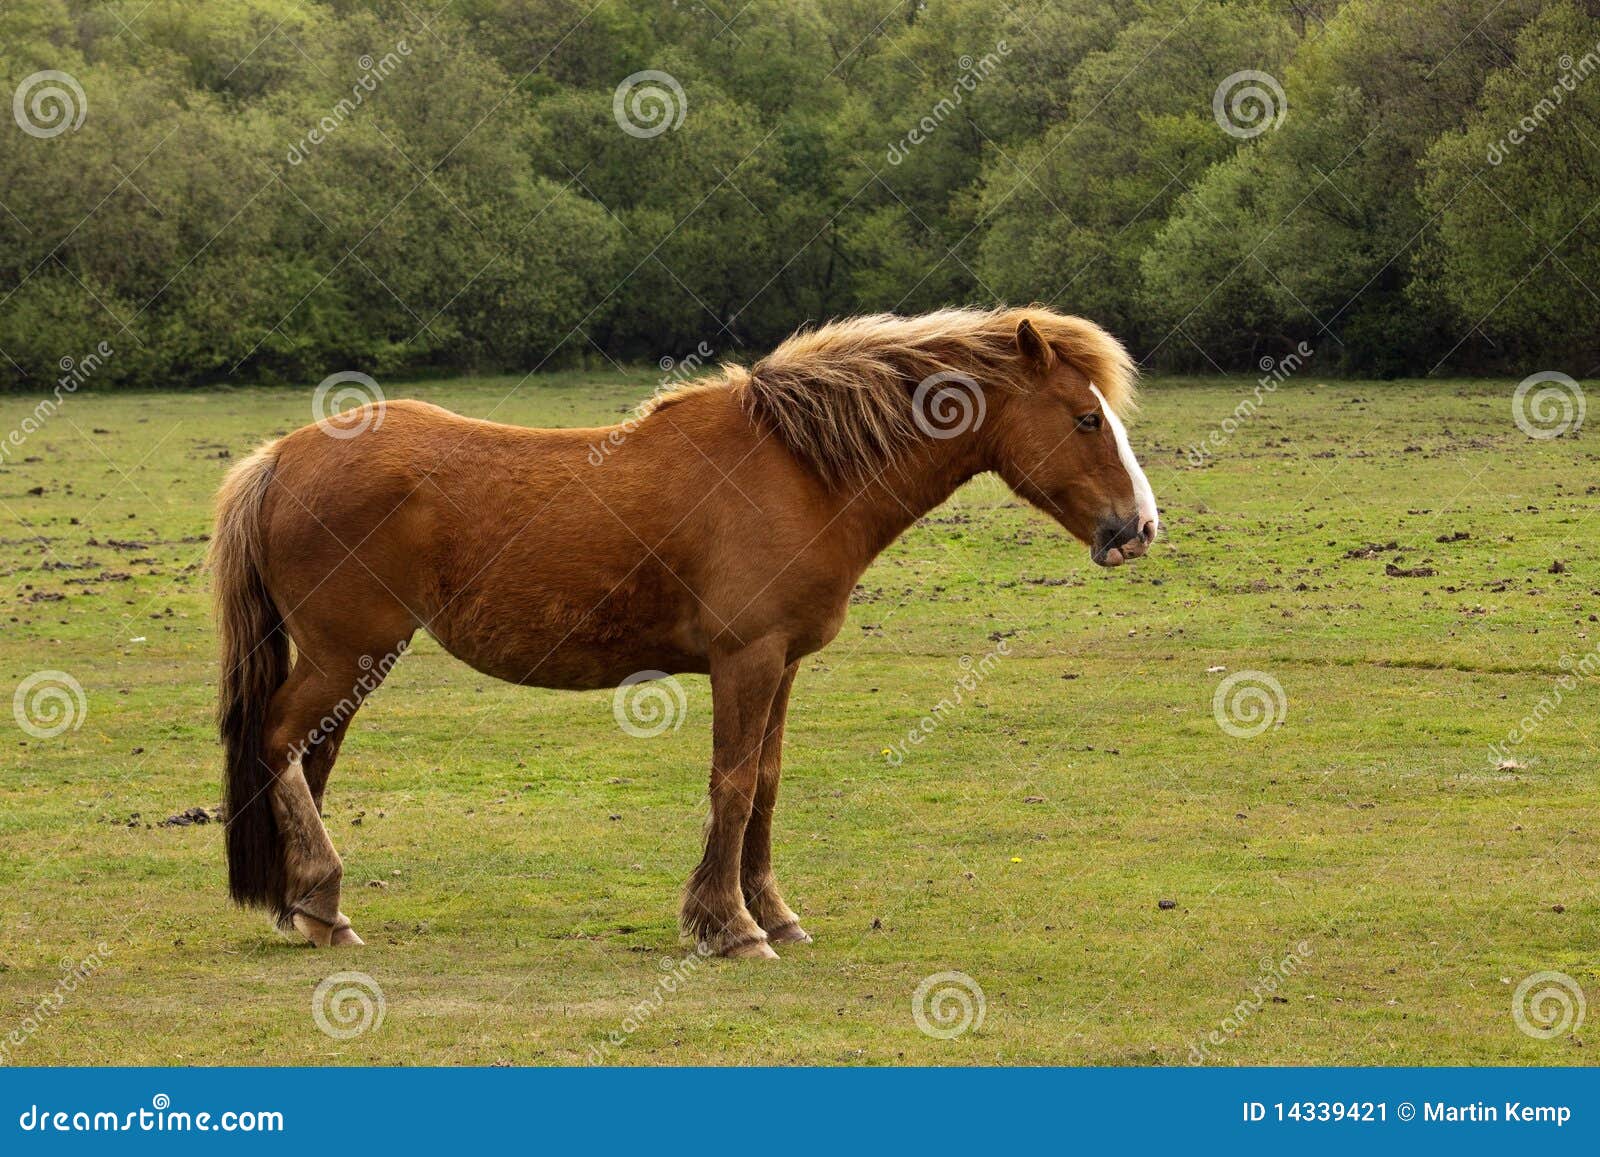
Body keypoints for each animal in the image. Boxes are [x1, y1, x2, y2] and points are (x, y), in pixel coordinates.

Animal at [210, 305, 1159, 958]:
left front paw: (771, 911)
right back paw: (323, 899)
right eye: (1084, 418)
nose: (1138, 527)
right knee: (281, 742)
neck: (801, 468)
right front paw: (730, 926)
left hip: (351, 660)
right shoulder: (747, 661)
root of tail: (279, 458)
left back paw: (307, 906)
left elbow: (766, 785)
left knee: (310, 755)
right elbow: (732, 786)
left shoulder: (783, 666)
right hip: (345, 655)